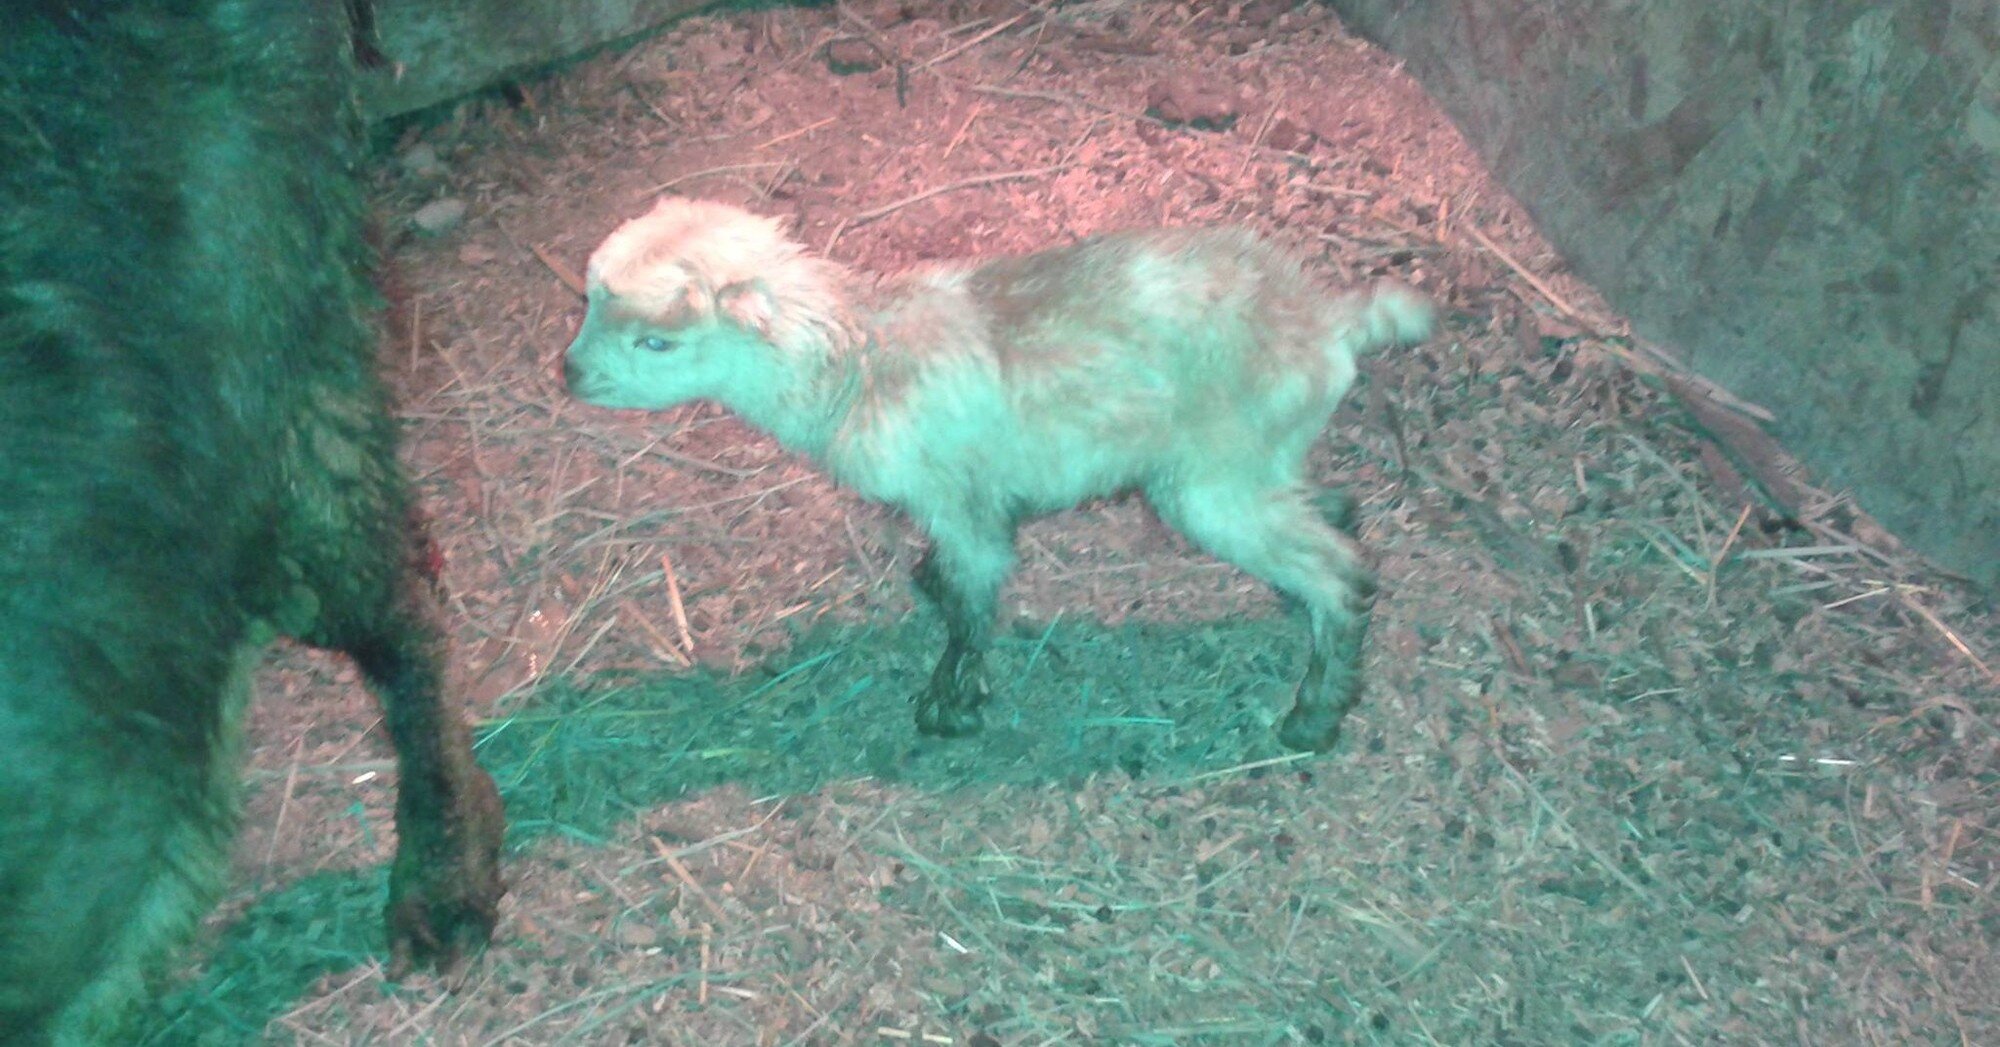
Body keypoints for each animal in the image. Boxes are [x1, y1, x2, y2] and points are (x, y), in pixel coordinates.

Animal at [564, 198, 1433, 753]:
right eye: (587, 300)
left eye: (657, 342)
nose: (568, 372)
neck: (859, 364)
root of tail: (1330, 322)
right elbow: (953, 583)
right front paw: (928, 590)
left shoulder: (961, 498)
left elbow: (973, 605)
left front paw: (949, 704)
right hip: (1259, 460)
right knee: (1332, 512)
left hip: (1211, 484)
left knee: (1343, 572)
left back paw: (1315, 714)